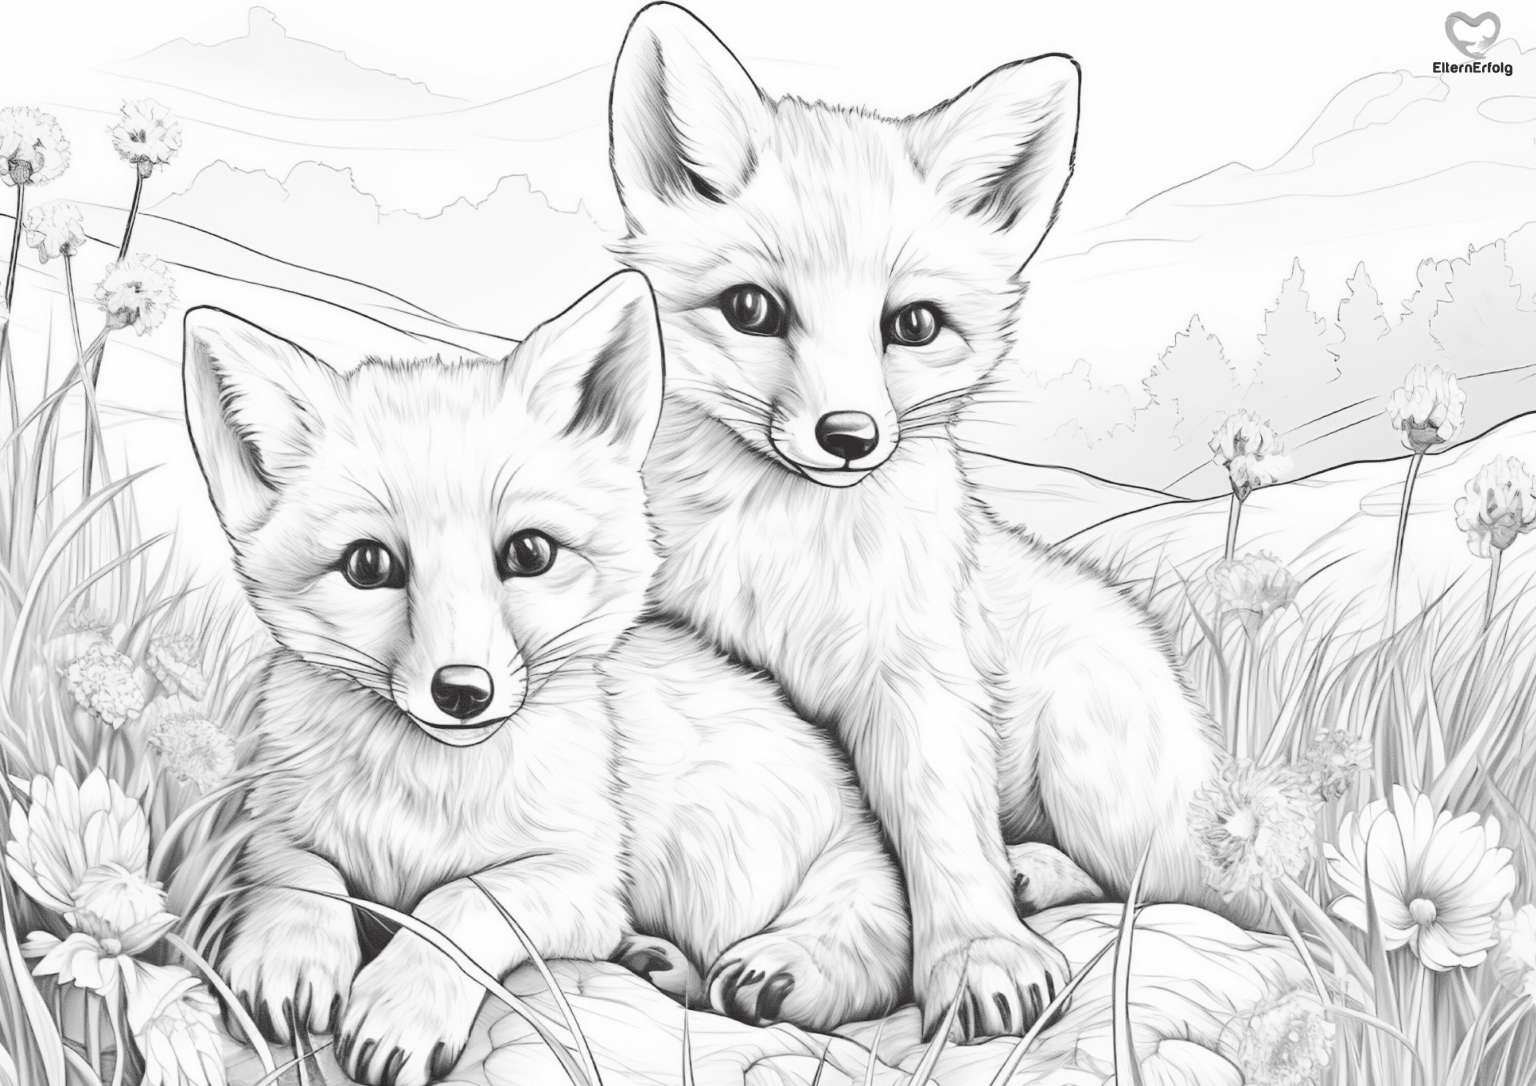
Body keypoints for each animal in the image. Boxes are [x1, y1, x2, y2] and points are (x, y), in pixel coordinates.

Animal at [183, 272, 909, 1086]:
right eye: (368, 565)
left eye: (529, 553)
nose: (461, 692)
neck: (425, 802)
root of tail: (849, 792)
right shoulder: (276, 815)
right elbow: (293, 872)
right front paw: (288, 955)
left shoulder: (582, 876)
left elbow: (465, 900)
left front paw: (405, 1006)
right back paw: (655, 960)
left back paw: (770, 966)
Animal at [608, 3, 1261, 1042]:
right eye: (752, 309)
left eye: (912, 325)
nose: (847, 436)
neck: (784, 566)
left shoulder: (916, 677)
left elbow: (940, 833)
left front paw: (978, 958)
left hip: (1093, 771)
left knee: (1177, 888)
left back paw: (1030, 878)